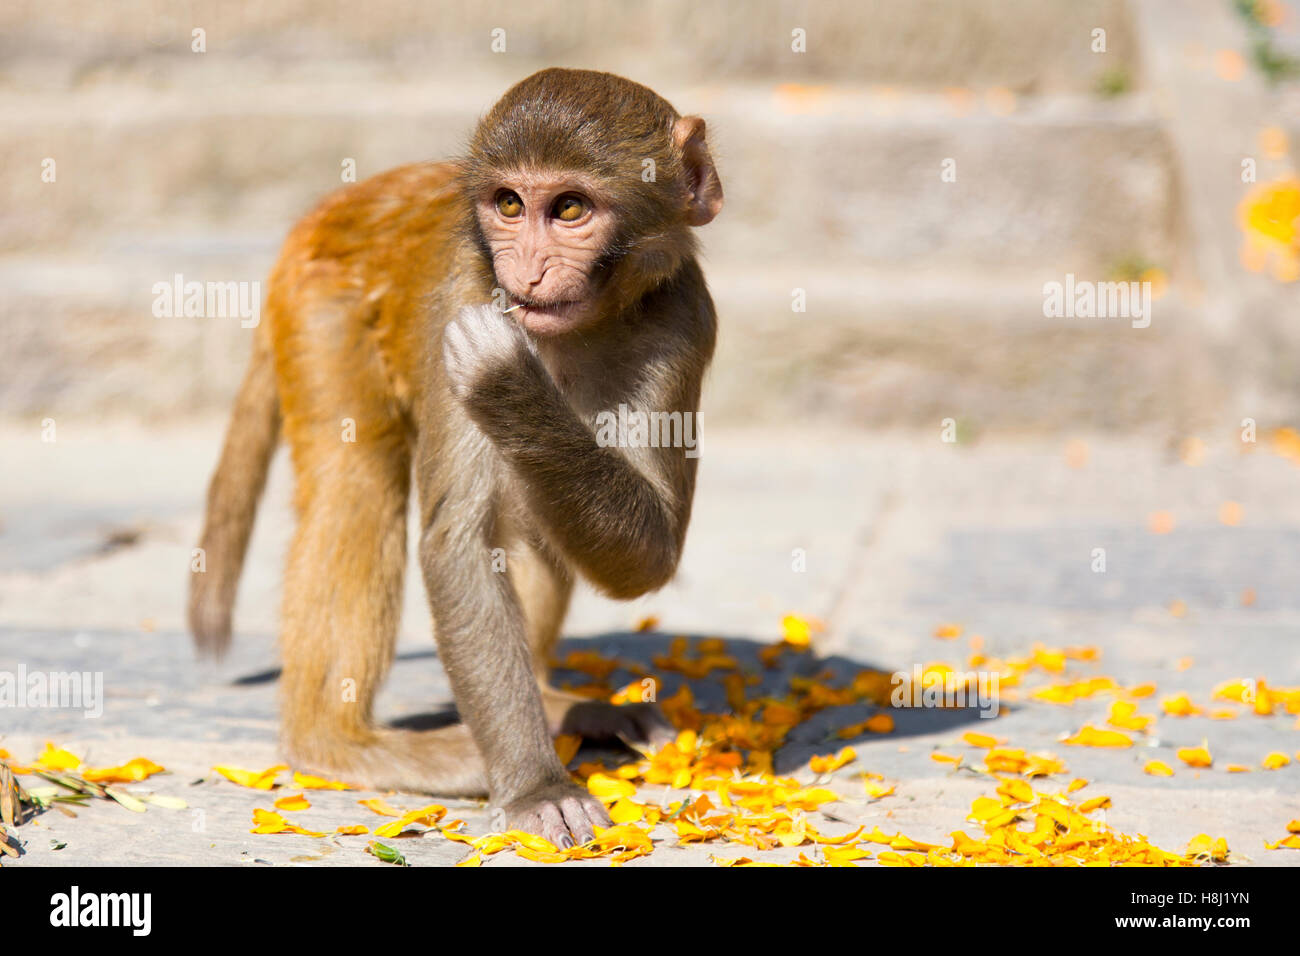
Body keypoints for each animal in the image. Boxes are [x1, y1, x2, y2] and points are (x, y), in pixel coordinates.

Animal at [188, 68, 723, 847]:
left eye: (569, 208)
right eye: (509, 204)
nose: (526, 270)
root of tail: (329, 208)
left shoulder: (683, 316)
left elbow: (649, 556)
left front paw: (510, 384)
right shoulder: (462, 298)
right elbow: (460, 541)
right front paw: (537, 789)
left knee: (533, 502)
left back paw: (555, 704)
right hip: (321, 310)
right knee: (359, 482)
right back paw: (339, 742)